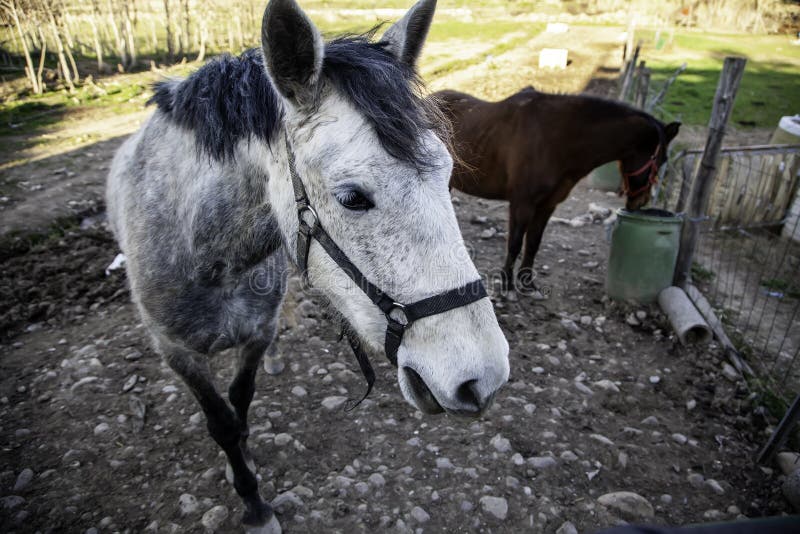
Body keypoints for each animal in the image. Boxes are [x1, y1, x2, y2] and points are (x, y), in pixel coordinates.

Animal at [106, 1, 510, 531]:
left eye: (446, 176)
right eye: (352, 197)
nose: (484, 378)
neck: (202, 249)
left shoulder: (256, 333)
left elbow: (241, 400)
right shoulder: (176, 353)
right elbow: (222, 423)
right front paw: (252, 501)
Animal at [434, 86, 681, 292]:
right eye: (661, 159)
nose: (641, 203)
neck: (556, 140)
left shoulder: (547, 206)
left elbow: (533, 243)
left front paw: (527, 283)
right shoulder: (522, 203)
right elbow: (515, 243)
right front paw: (506, 283)